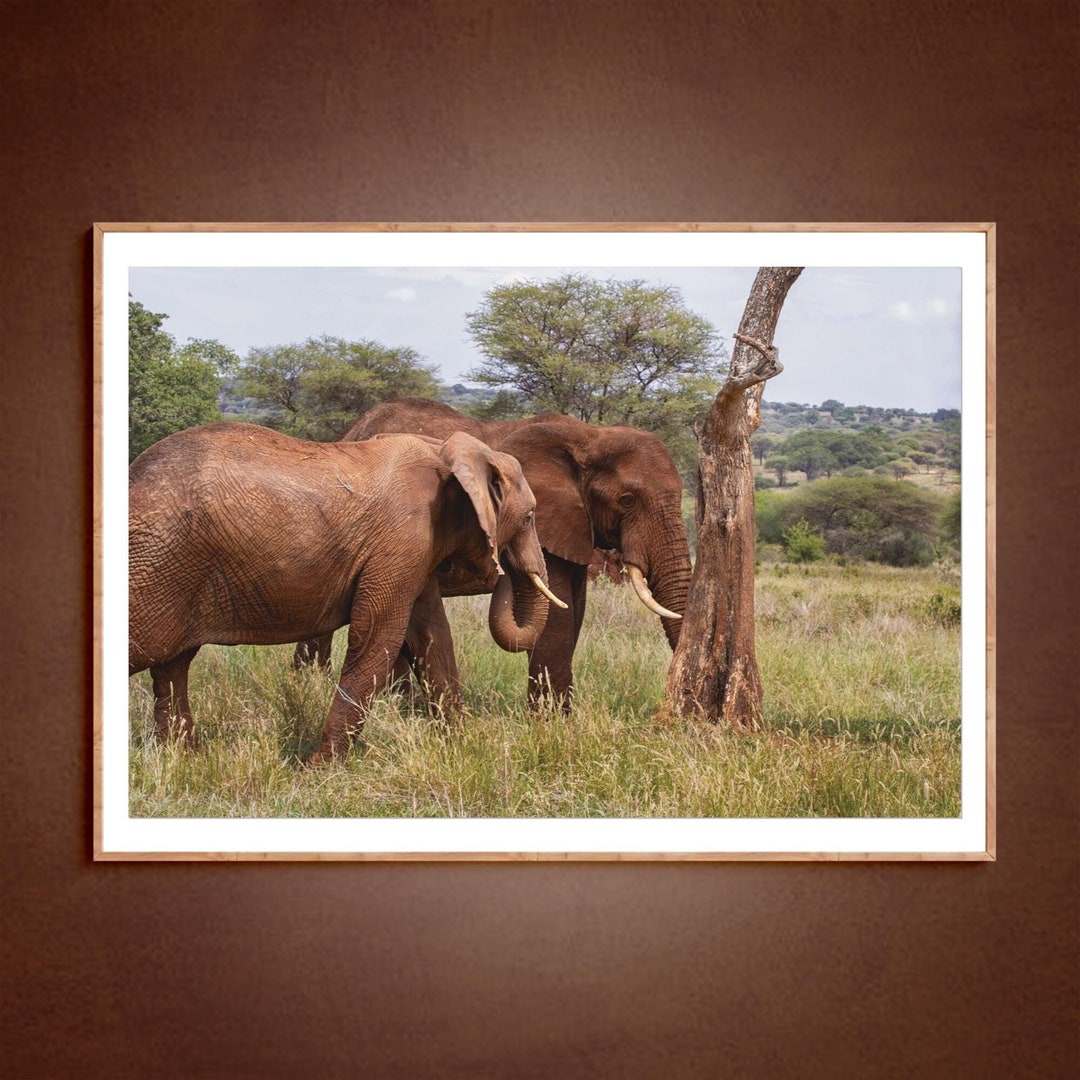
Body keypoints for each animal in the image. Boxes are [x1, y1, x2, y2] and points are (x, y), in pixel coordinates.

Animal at [128, 422, 560, 763]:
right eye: (530, 517)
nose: (503, 564)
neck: (445, 448)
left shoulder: (415, 550)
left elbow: (432, 635)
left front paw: (461, 745)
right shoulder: (402, 538)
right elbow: (376, 638)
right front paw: (318, 770)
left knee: (172, 666)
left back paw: (184, 757)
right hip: (155, 565)